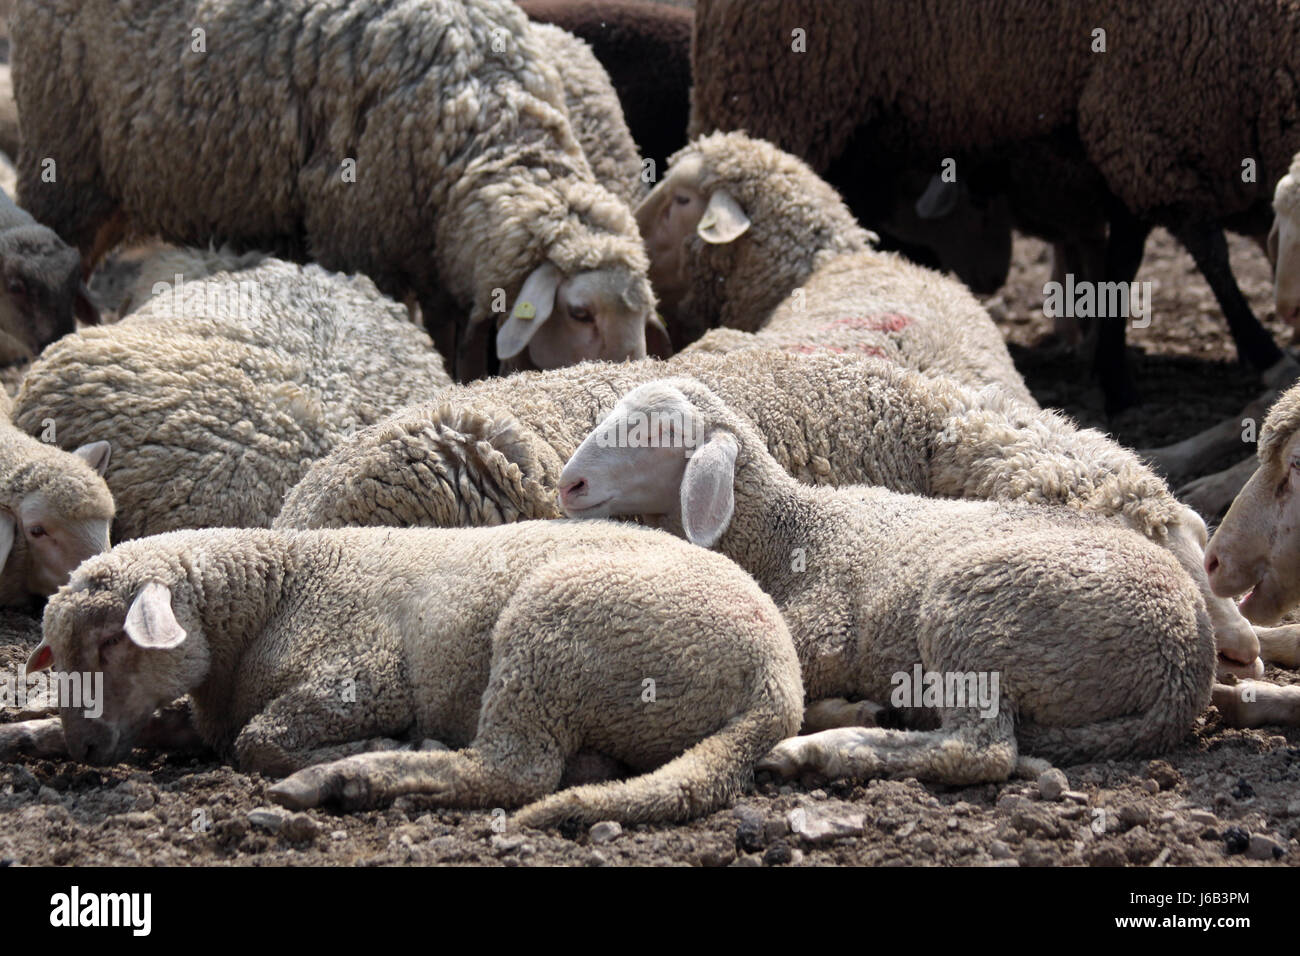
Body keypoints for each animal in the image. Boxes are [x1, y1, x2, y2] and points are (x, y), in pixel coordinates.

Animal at [8, 523, 803, 827]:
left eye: (112, 640)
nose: (83, 749)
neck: (275, 596)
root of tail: (777, 682)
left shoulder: (360, 676)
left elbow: (257, 742)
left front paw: (342, 753)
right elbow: (186, 729)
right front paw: (31, 734)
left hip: (554, 629)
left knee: (512, 771)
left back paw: (349, 775)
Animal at [557, 379, 1215, 782]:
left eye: (656, 434)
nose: (569, 485)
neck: (791, 530)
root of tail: (1183, 667)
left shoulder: (818, 632)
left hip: (975, 613)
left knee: (978, 750)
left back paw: (823, 750)